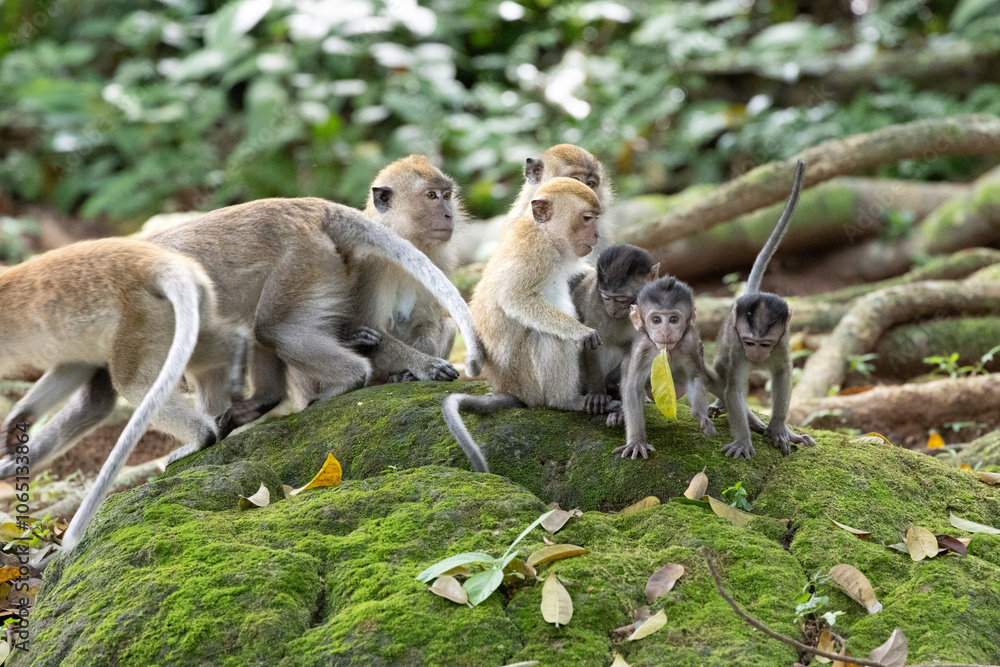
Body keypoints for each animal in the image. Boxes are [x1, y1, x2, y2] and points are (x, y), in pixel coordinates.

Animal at [0, 238, 242, 552]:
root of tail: (156, 263)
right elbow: (79, 373)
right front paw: (19, 422)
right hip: (188, 306)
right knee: (207, 347)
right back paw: (242, 349)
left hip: (140, 315)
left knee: (133, 383)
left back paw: (202, 437)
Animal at [443, 177, 620, 474]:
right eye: (587, 218)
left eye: (596, 218)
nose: (596, 236)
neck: (546, 233)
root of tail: (507, 388)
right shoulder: (536, 255)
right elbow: (514, 298)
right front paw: (580, 331)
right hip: (529, 382)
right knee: (552, 337)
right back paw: (567, 400)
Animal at [571, 244, 659, 415]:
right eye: (606, 297)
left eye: (621, 300)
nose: (611, 309)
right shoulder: (597, 305)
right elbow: (592, 343)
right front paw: (597, 393)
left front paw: (613, 382)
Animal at [608, 276, 718, 460]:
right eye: (656, 320)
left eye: (673, 320)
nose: (665, 333)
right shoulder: (643, 349)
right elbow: (632, 387)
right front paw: (637, 441)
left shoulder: (690, 344)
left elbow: (695, 376)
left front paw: (702, 415)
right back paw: (618, 414)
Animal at [711, 160, 814, 459]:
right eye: (749, 342)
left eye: (764, 344)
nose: (756, 355)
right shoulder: (737, 348)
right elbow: (733, 389)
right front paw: (744, 439)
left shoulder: (781, 344)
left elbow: (782, 375)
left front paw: (779, 427)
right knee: (720, 371)